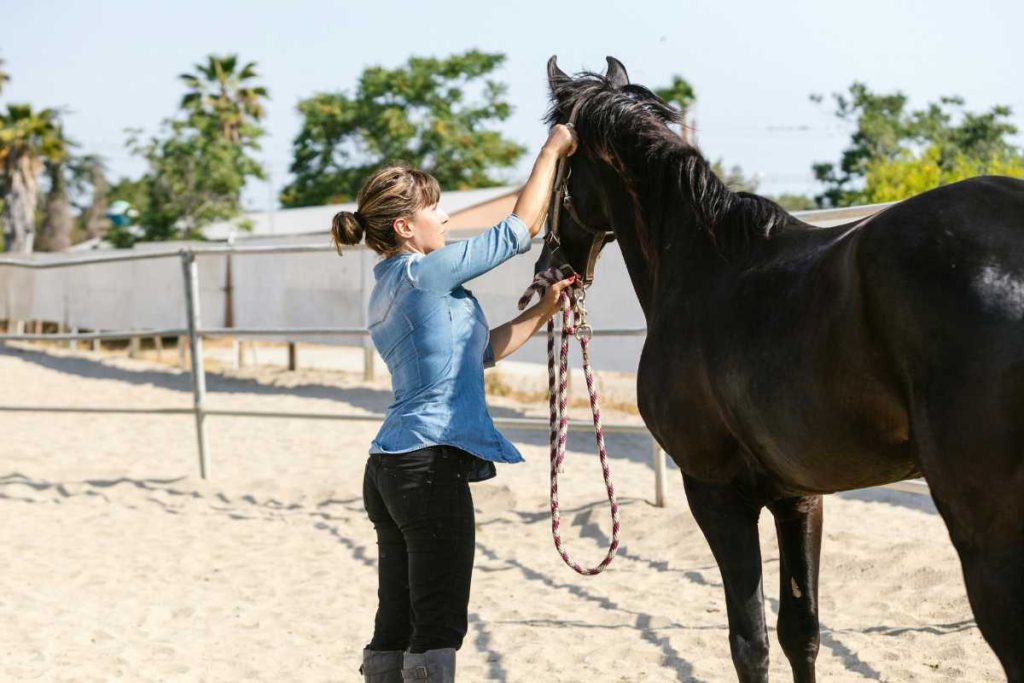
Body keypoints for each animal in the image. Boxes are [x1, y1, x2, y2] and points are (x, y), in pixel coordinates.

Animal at [537, 56, 1024, 682]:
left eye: (554, 161)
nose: (549, 268)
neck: (702, 268)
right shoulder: (800, 497)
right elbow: (801, 633)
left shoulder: (715, 491)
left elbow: (750, 641)